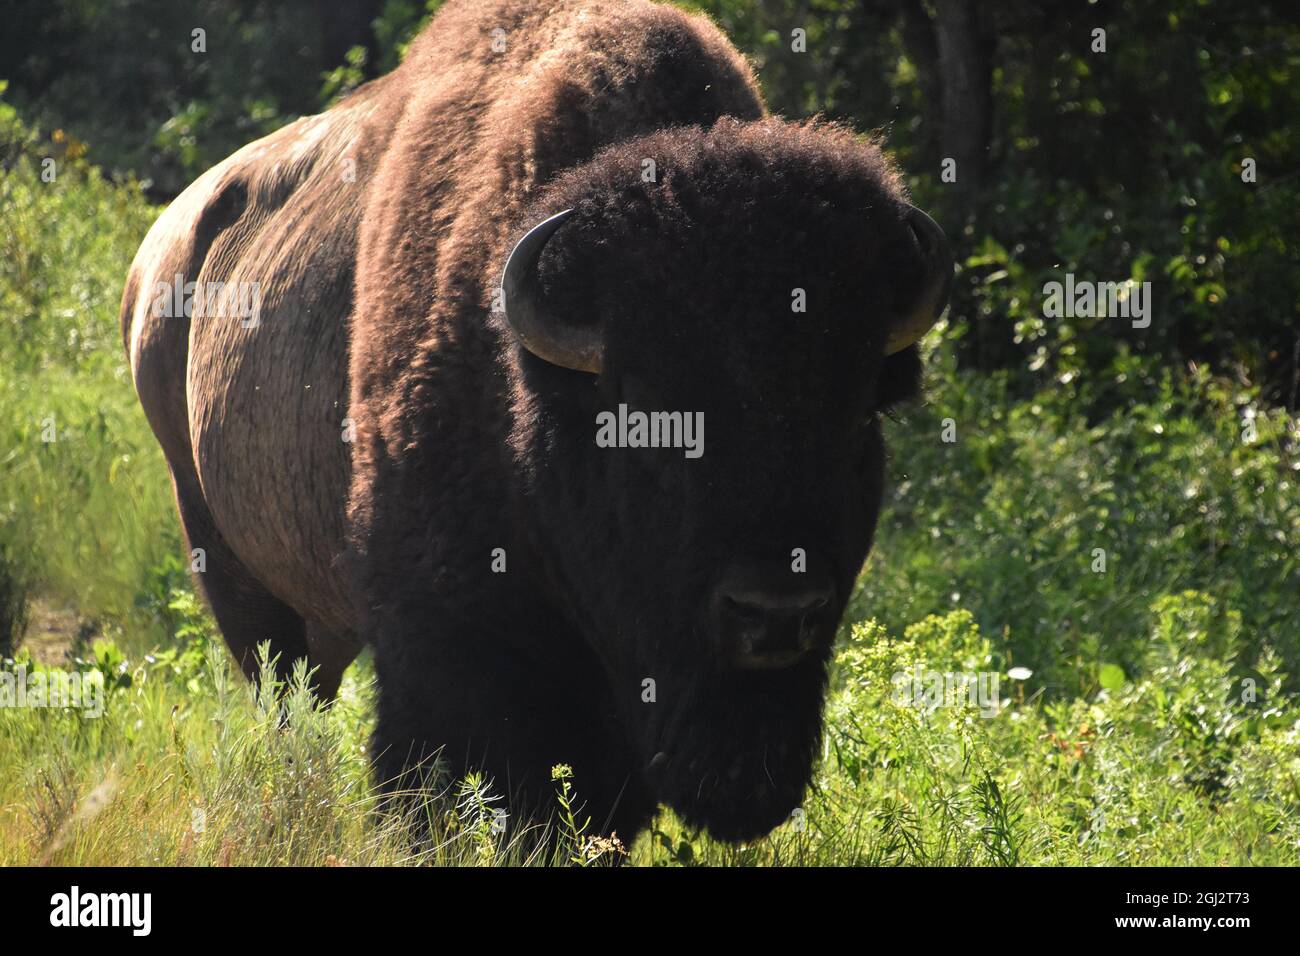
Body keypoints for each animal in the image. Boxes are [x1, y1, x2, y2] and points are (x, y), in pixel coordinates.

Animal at [122, 0, 952, 844]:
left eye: (859, 419)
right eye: (646, 421)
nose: (776, 612)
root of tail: (161, 253)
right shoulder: (447, 635)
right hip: (228, 565)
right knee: (285, 694)